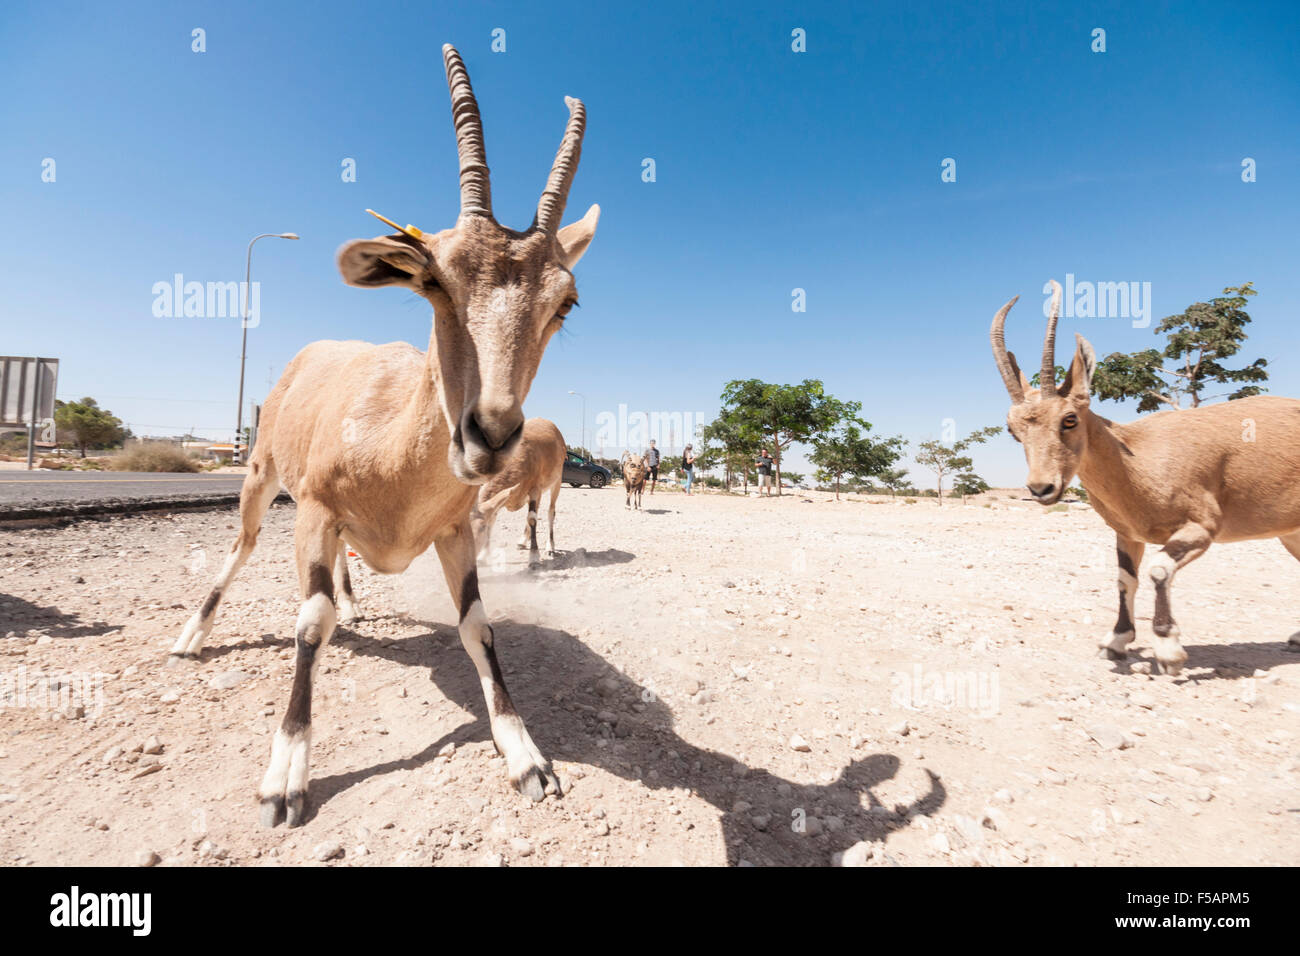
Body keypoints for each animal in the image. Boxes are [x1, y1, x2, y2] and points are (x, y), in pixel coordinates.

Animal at [469, 418, 565, 568]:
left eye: (481, 528)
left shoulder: (535, 489)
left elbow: (532, 518)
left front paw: (534, 557)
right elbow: (494, 517)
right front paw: (483, 556)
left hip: (557, 480)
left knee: (550, 512)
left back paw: (550, 547)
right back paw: (522, 541)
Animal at [991, 279, 1300, 675]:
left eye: (1069, 418)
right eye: (1013, 430)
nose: (1042, 488)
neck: (1137, 460)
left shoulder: (1202, 528)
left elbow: (1158, 570)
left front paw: (1169, 650)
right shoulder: (1127, 534)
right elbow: (1126, 579)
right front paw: (1115, 642)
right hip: (1291, 533)